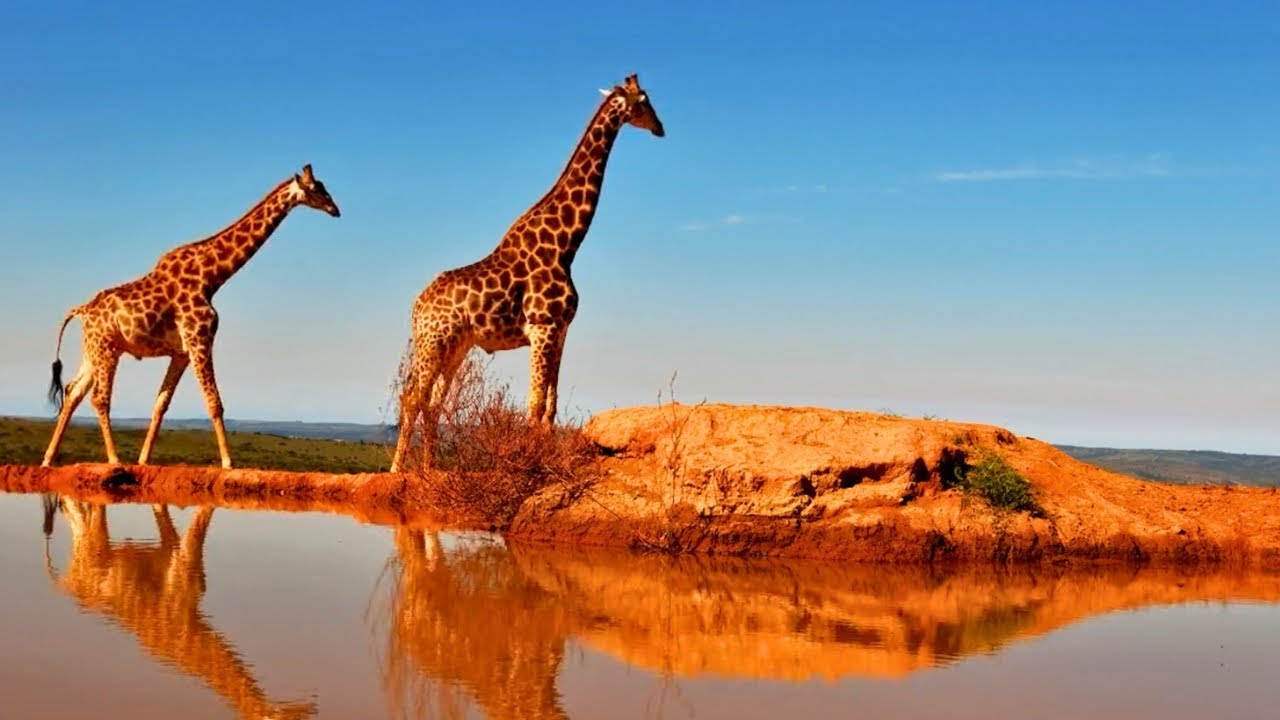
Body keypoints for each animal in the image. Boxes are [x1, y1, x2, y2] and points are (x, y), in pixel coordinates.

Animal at [41, 165, 341, 470]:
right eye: (316, 188)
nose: (335, 209)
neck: (212, 277)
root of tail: (82, 310)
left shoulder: (182, 352)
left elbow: (161, 403)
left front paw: (144, 460)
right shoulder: (200, 340)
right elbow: (214, 402)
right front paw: (228, 462)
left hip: (94, 351)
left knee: (72, 390)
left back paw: (48, 459)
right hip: (107, 349)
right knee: (99, 398)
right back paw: (114, 460)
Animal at [389, 74, 665, 471]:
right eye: (644, 101)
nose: (661, 127)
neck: (566, 245)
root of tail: (416, 306)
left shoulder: (561, 330)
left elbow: (550, 405)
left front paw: (543, 459)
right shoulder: (541, 327)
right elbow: (534, 404)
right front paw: (528, 463)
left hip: (456, 347)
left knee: (433, 402)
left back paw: (429, 470)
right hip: (433, 342)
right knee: (413, 398)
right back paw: (398, 471)